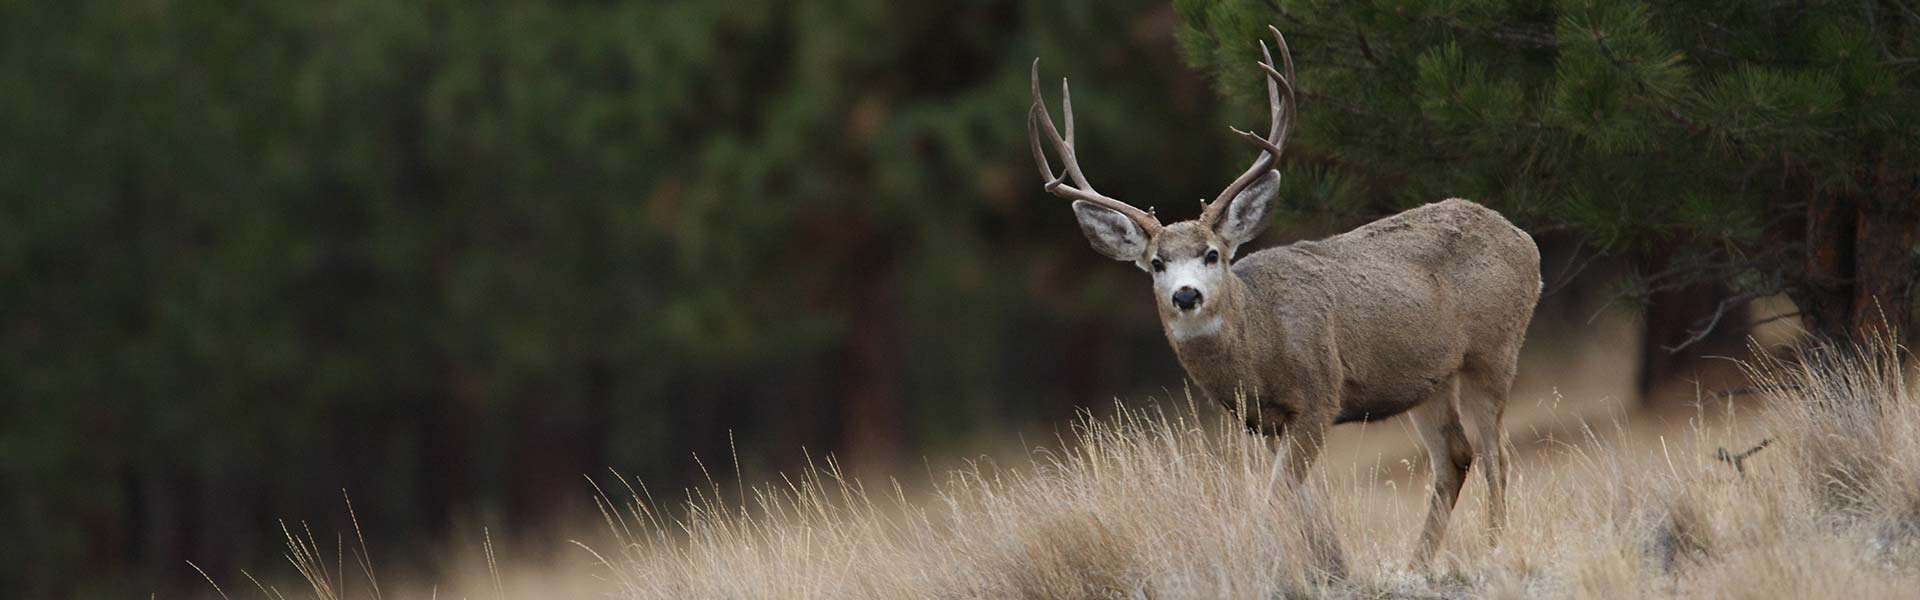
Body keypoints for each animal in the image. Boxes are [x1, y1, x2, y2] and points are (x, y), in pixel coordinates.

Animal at [1027, 26, 1541, 564]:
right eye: (1156, 264)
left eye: (1212, 254)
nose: (1186, 296)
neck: (1262, 344)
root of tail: (1523, 238)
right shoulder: (1265, 423)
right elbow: (1303, 500)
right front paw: (1332, 567)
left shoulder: (1320, 393)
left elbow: (1276, 495)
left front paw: (1272, 561)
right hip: (1429, 379)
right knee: (1455, 456)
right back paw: (1418, 563)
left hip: (1493, 350)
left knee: (1496, 455)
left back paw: (1492, 549)